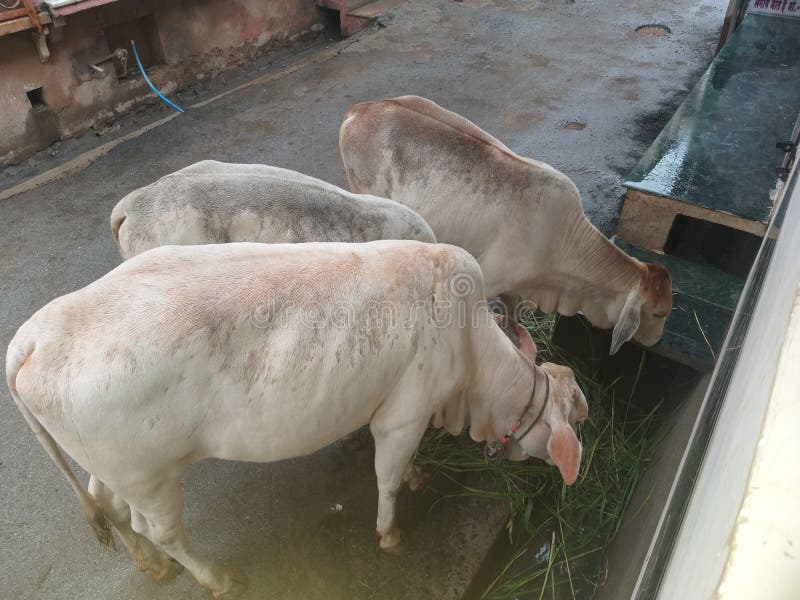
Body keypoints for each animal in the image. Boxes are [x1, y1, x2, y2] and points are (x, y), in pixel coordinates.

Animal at [6, 240, 588, 597]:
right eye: (575, 418)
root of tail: (33, 335)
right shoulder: (402, 414)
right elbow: (386, 479)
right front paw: (390, 533)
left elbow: (403, 470)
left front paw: (419, 475)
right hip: (149, 475)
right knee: (161, 528)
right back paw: (216, 577)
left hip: (112, 465)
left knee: (109, 506)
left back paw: (151, 565)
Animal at [338, 95, 672, 354]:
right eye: (658, 313)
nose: (656, 342)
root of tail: (359, 109)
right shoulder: (486, 280)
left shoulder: (517, 287)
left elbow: (513, 318)